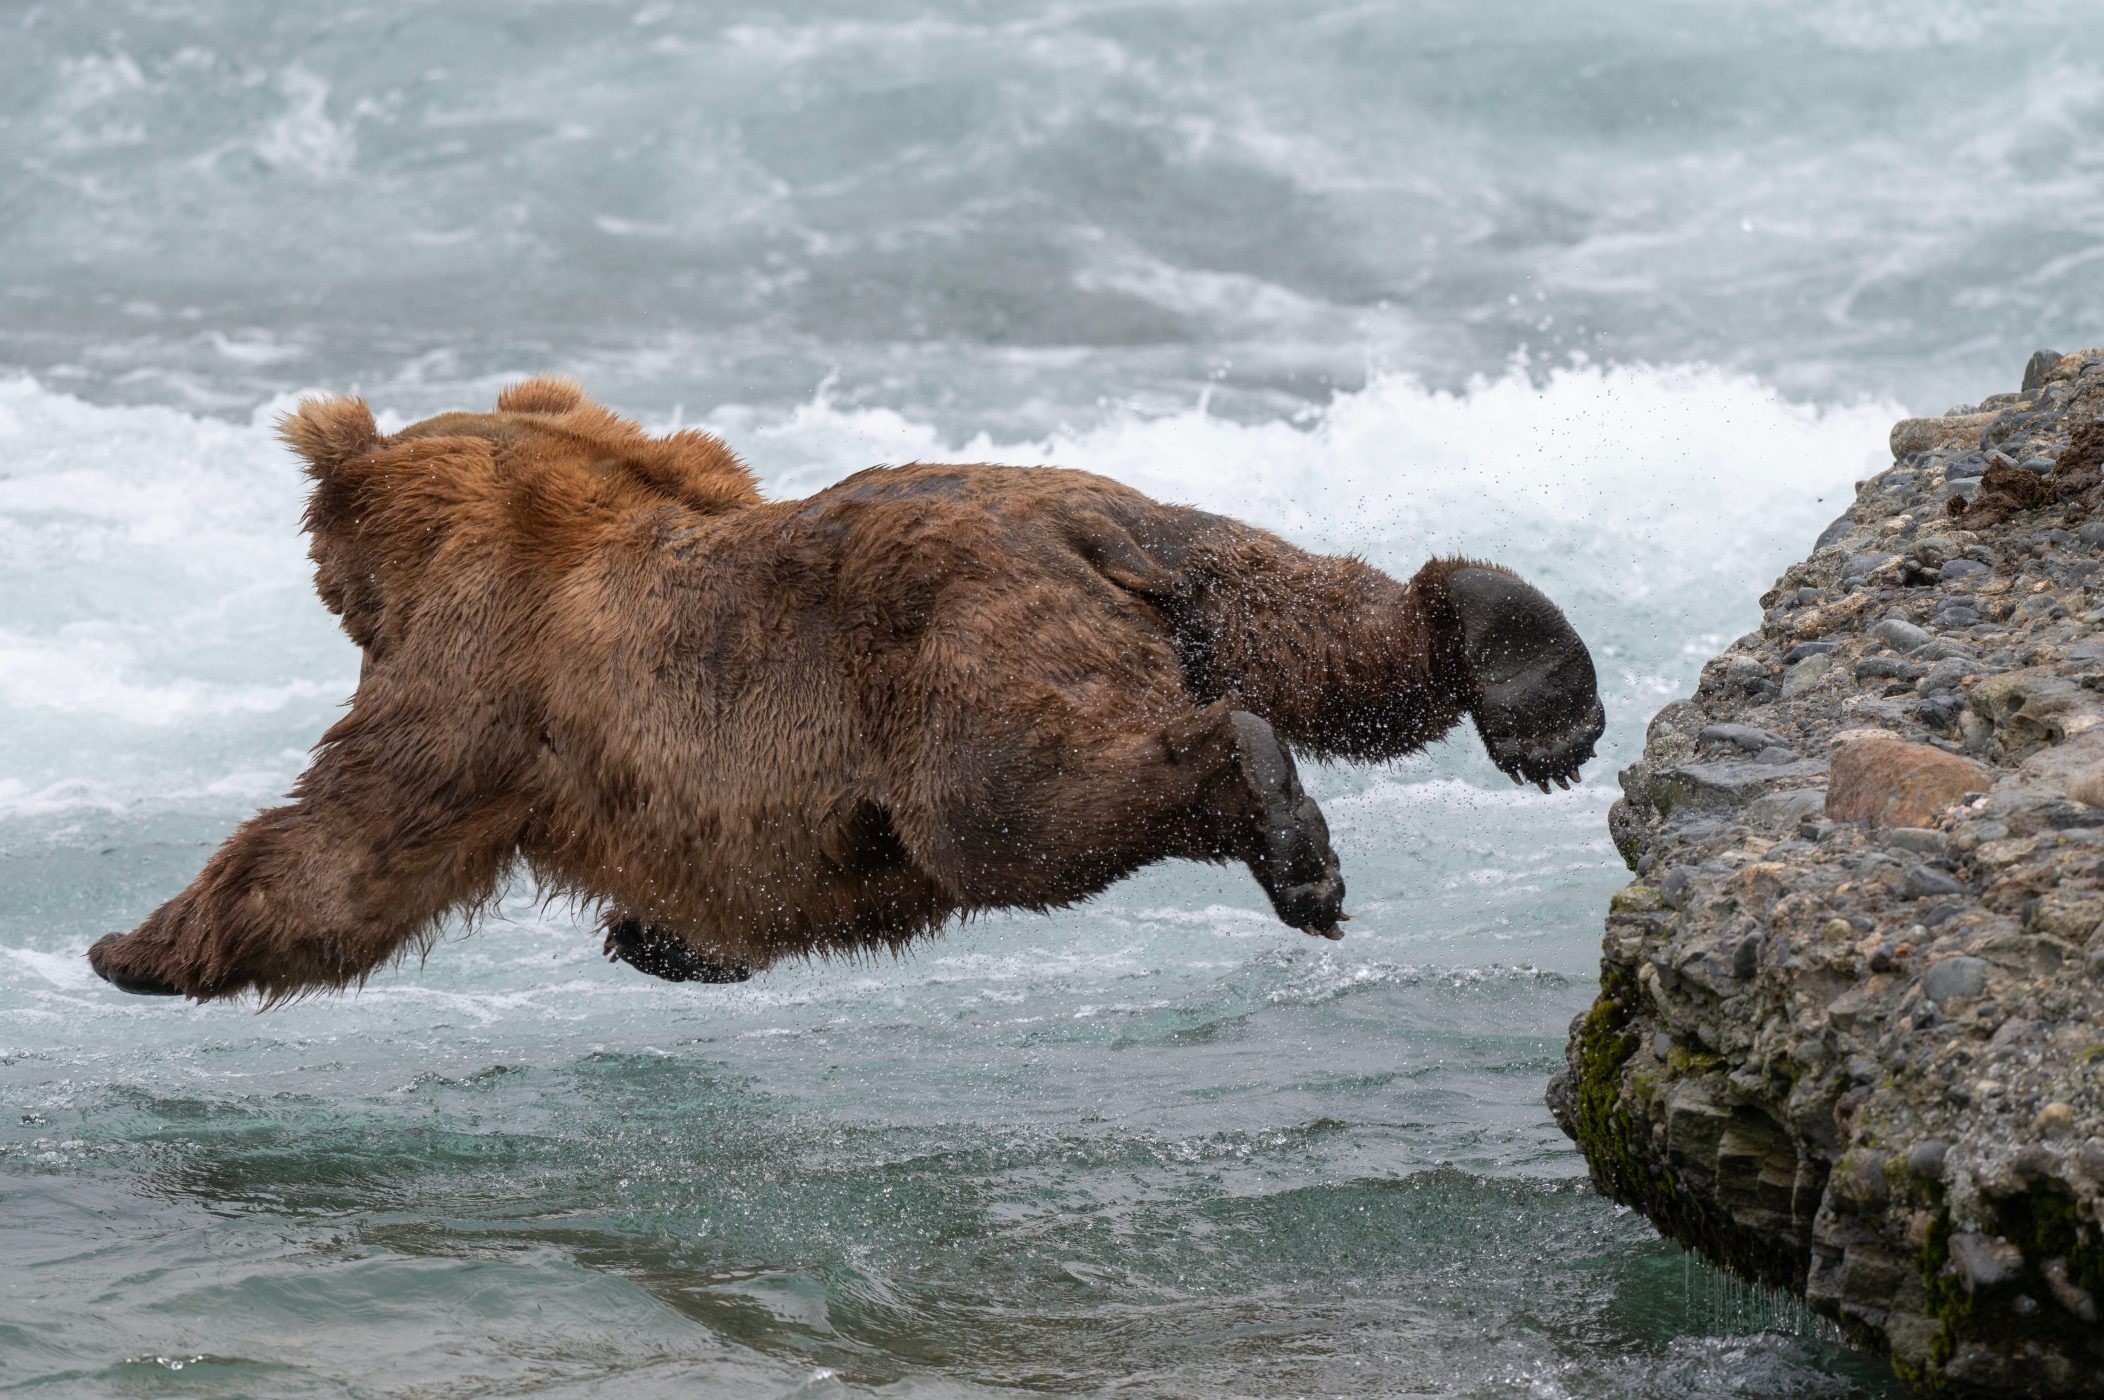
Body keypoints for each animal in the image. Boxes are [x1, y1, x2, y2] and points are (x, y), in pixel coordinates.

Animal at [87, 377, 1604, 1003]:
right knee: (1330, 636)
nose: (328, 586)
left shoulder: (480, 688)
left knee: (1027, 808)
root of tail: (1071, 526)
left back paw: (1285, 831)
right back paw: (1535, 681)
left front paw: (132, 947)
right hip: (1189, 565)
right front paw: (657, 939)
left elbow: (346, 852)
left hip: (958, 668)